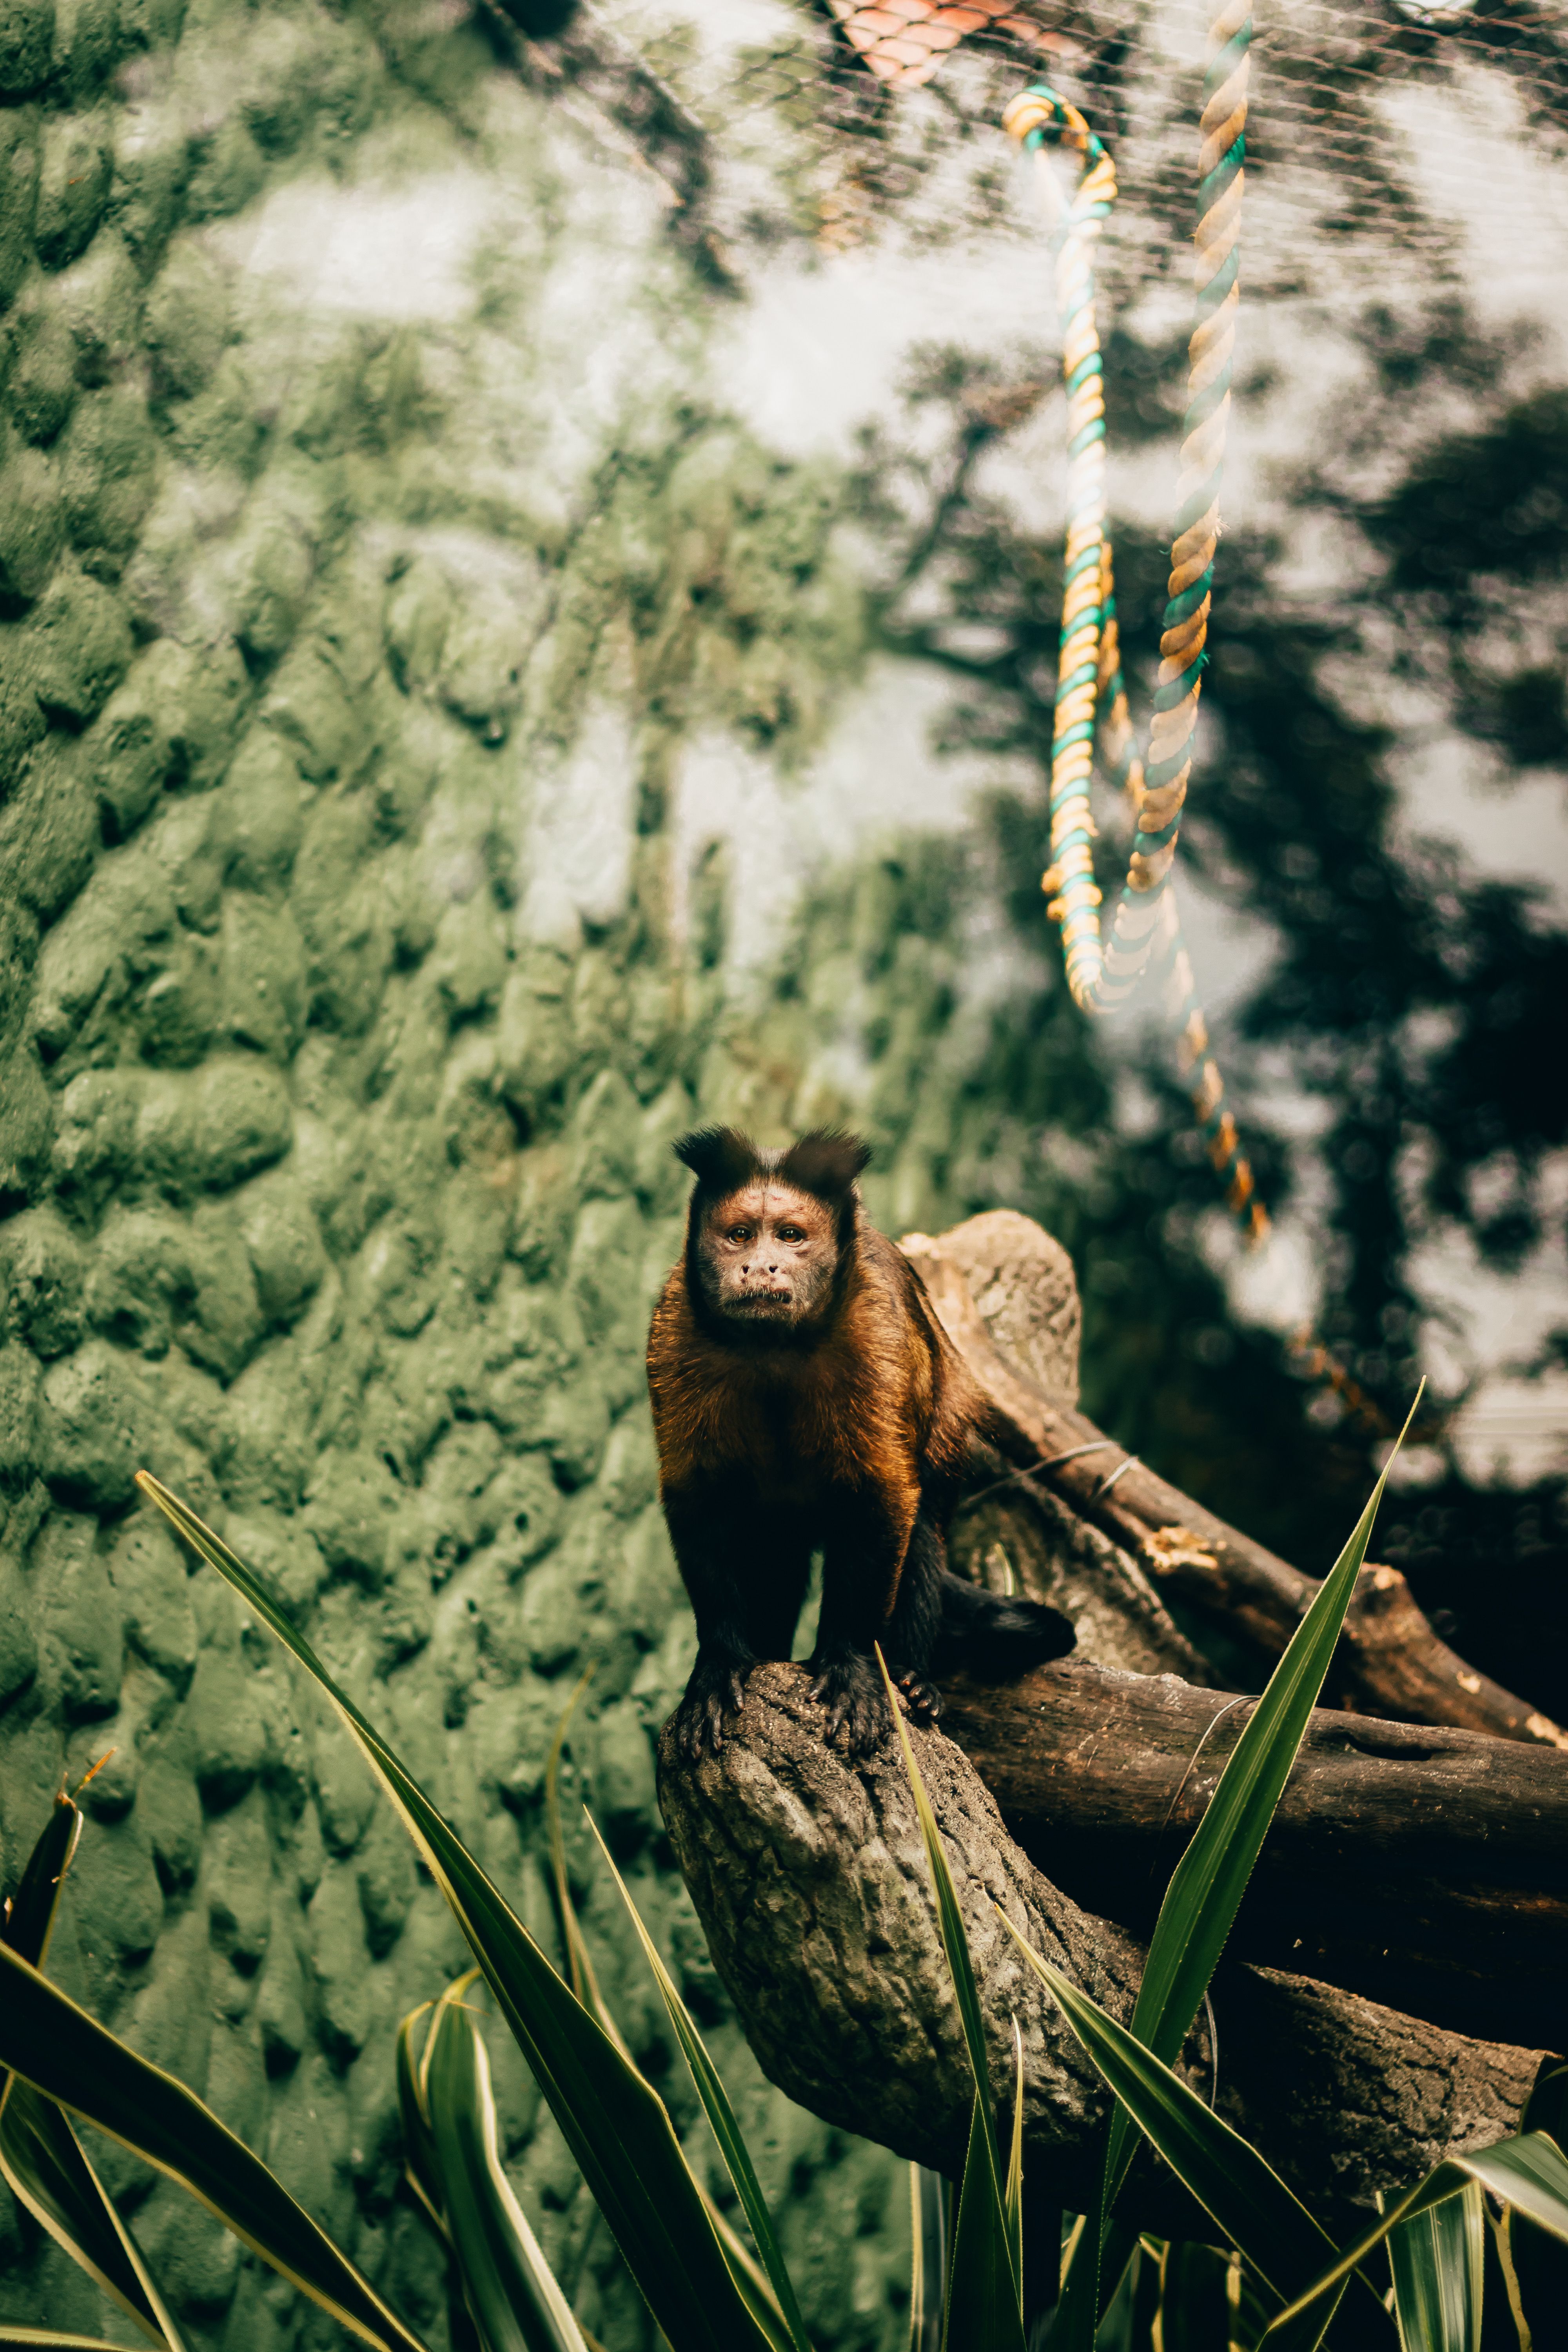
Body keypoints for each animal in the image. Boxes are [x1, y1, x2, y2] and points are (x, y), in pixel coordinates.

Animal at [645, 1125, 1076, 1759]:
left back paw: (912, 1678)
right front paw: (720, 1664)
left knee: (920, 1529)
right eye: (740, 1234)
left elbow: (883, 1502)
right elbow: (700, 1502)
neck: (776, 1349)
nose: (761, 1266)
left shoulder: (874, 1334)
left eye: (791, 1236)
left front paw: (850, 1667)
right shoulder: (675, 1331)